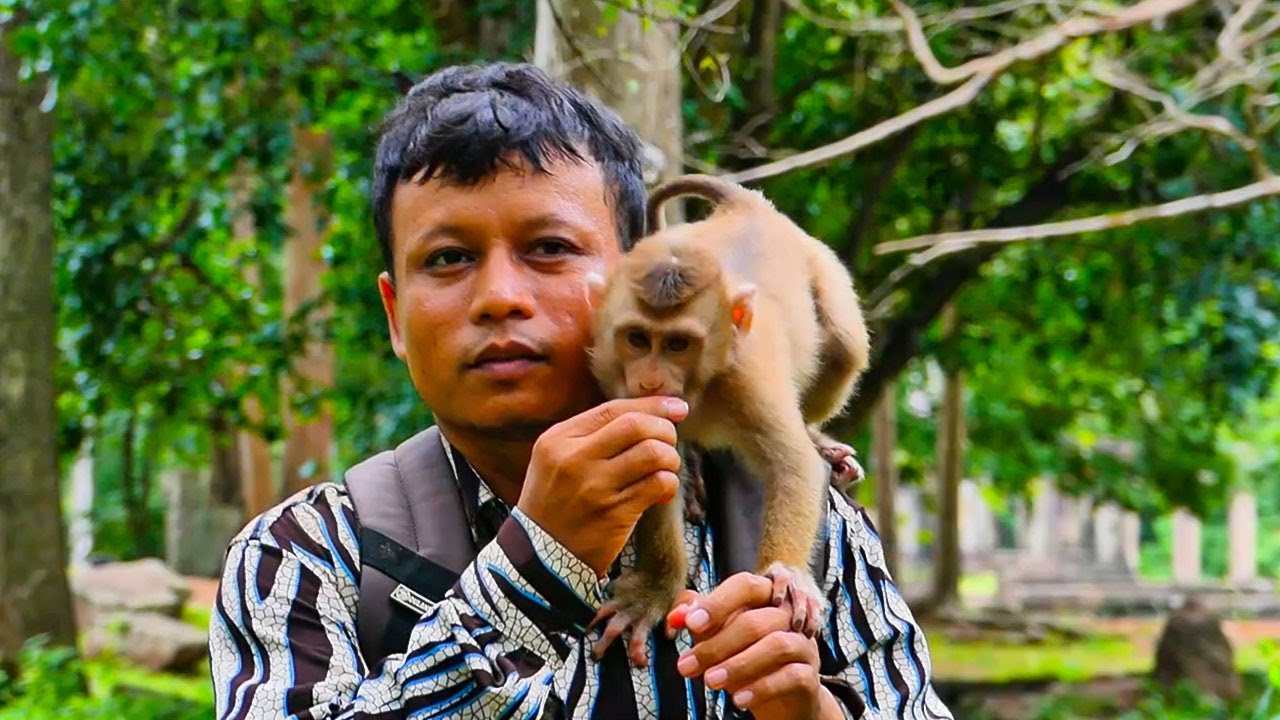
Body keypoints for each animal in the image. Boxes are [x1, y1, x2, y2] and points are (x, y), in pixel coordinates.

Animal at [585, 174, 871, 667]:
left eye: (678, 344)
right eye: (637, 339)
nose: (651, 380)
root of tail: (746, 206)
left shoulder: (745, 377)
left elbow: (793, 465)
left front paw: (785, 575)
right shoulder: (614, 377)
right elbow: (654, 471)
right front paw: (656, 588)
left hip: (819, 261)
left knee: (844, 344)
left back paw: (818, 438)